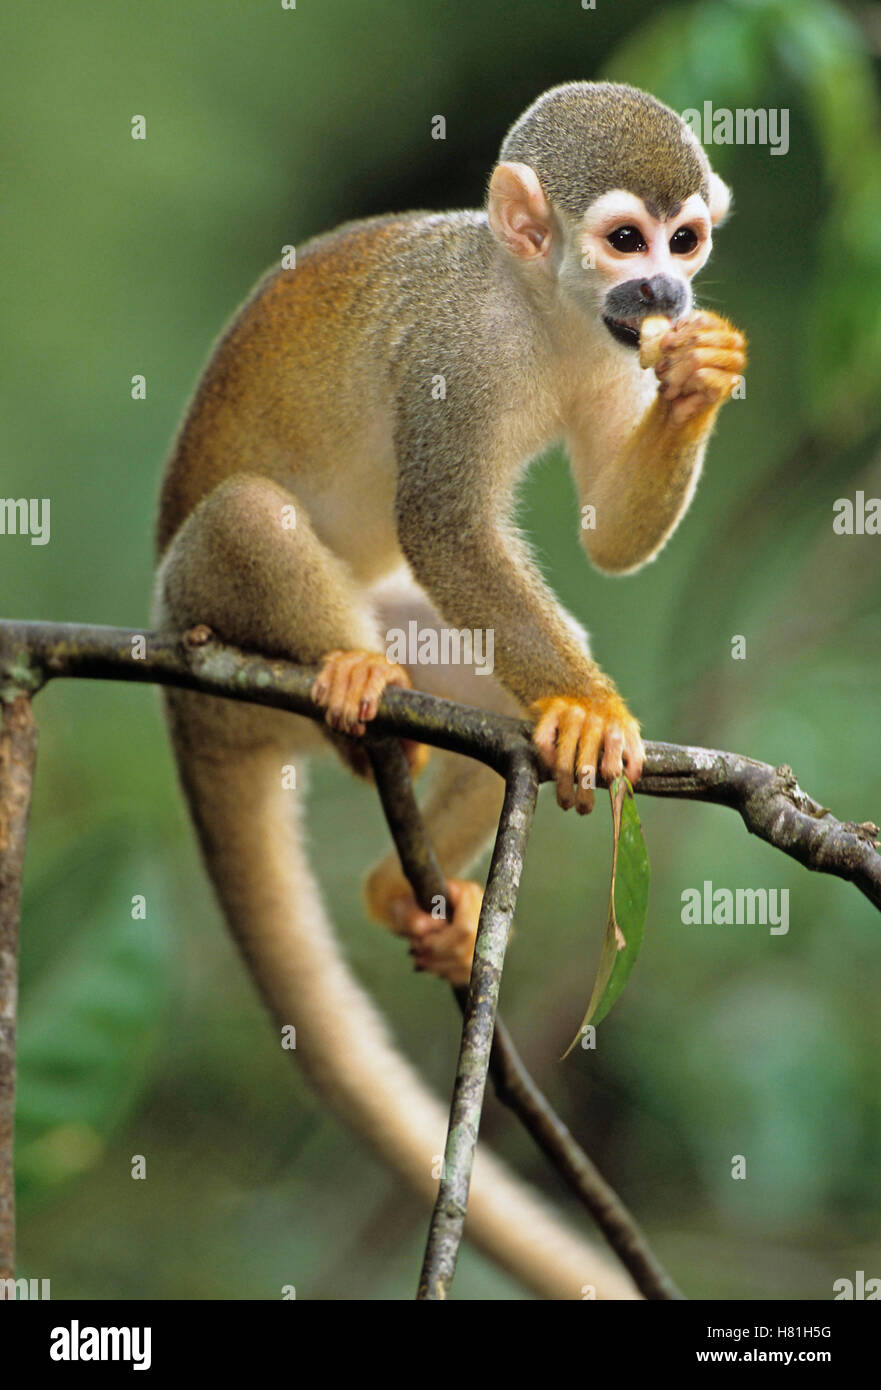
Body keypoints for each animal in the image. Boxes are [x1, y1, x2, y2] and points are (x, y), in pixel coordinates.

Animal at [152, 81, 746, 1299]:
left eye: (686, 241)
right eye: (626, 240)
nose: (668, 293)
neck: (541, 308)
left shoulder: (612, 348)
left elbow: (605, 541)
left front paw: (699, 377)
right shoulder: (456, 354)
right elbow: (441, 524)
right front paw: (593, 714)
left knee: (499, 699)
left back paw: (402, 880)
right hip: (198, 618)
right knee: (252, 518)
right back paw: (351, 689)